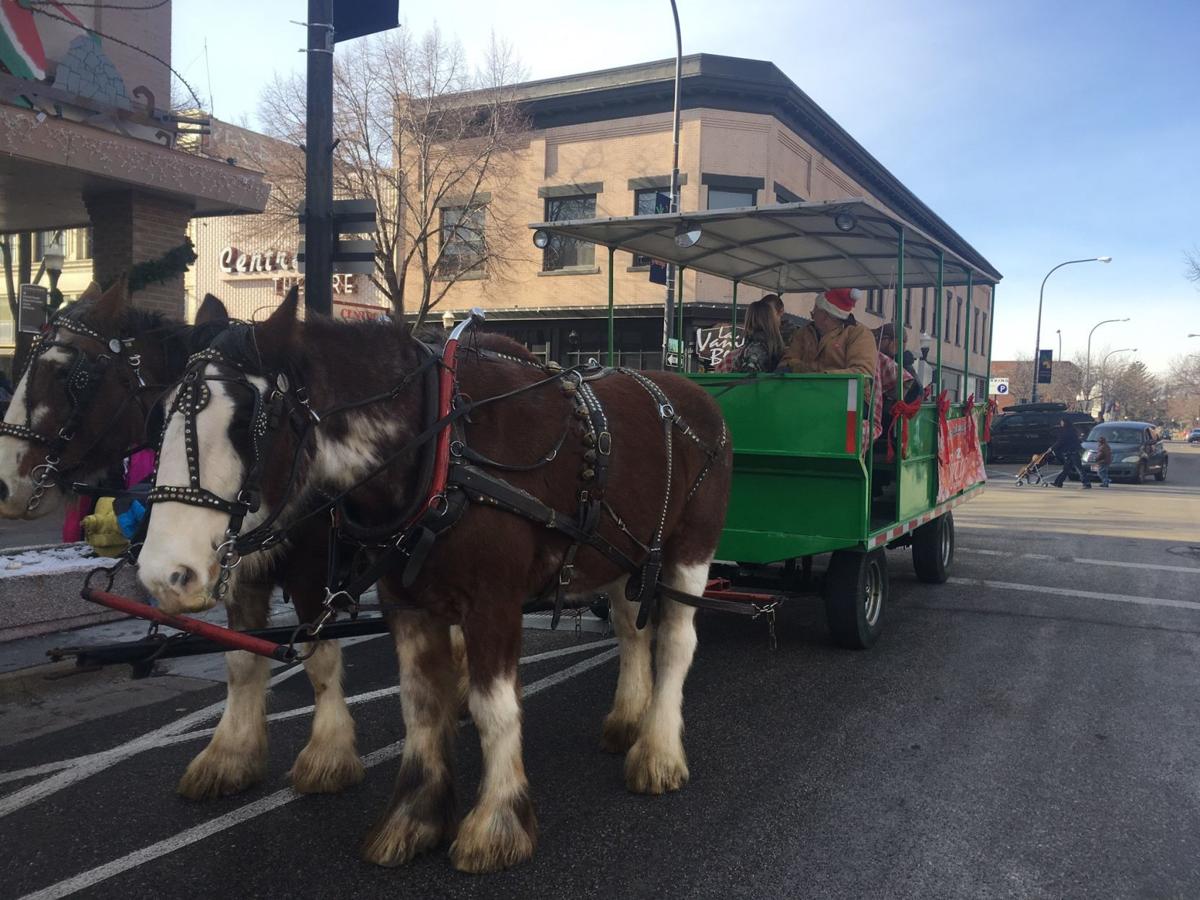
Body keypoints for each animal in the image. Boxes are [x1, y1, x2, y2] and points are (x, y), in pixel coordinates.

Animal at [0, 281, 367, 801]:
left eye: (69, 374)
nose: (5, 486)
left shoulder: (313, 569)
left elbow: (320, 658)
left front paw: (328, 755)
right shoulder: (239, 571)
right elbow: (241, 656)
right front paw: (228, 755)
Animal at [137, 288, 732, 872]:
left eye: (245, 425)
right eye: (160, 416)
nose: (163, 575)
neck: (441, 453)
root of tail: (686, 390)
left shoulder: (493, 603)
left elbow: (495, 709)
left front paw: (496, 824)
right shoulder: (407, 604)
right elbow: (419, 703)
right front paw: (413, 818)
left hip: (689, 550)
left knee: (676, 642)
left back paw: (657, 751)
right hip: (624, 552)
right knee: (633, 631)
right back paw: (628, 721)